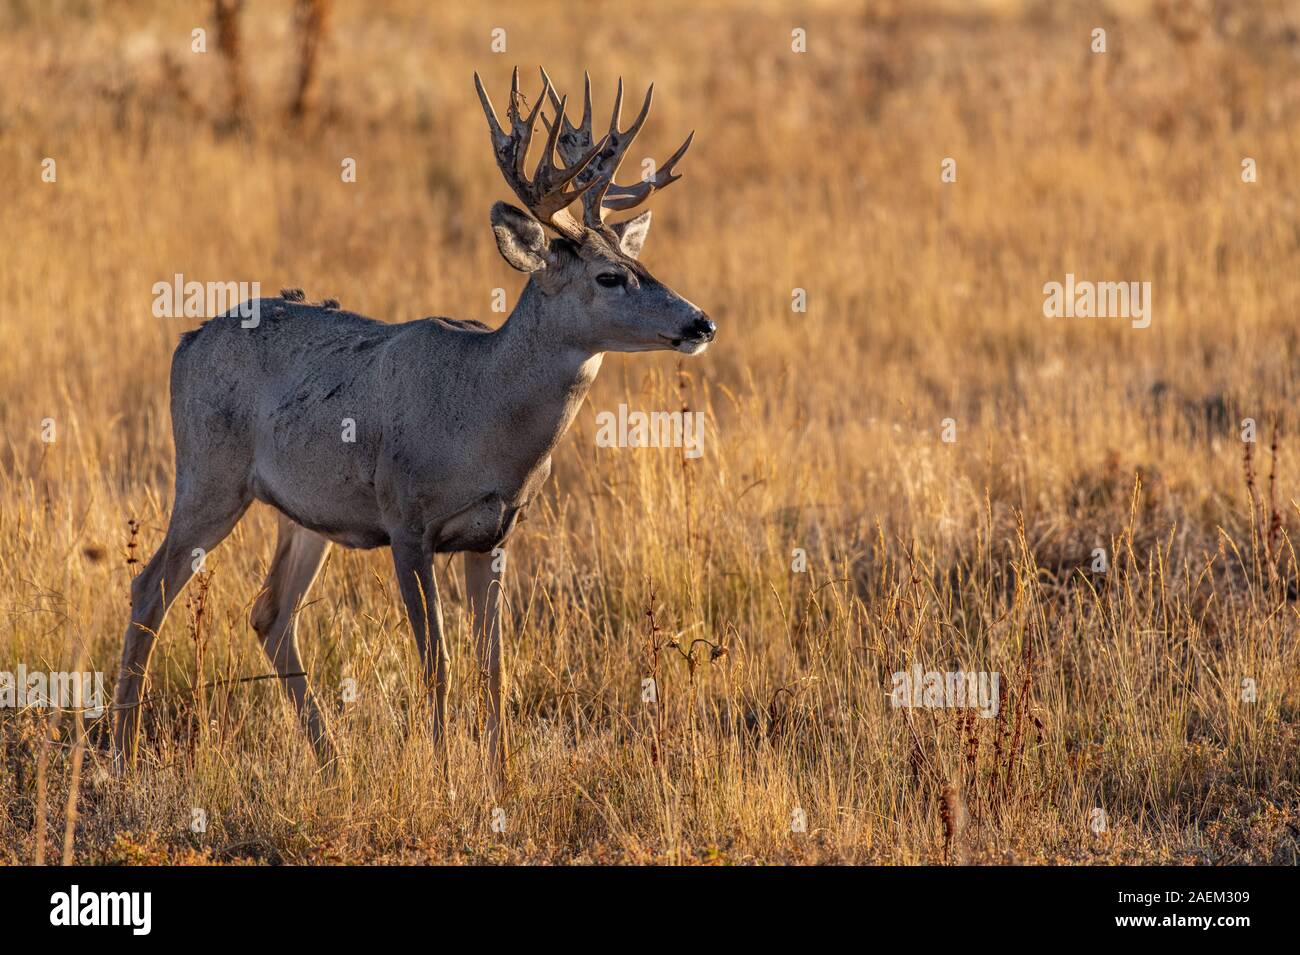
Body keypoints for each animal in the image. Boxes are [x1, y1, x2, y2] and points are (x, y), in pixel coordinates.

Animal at [112, 68, 714, 782]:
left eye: (645, 263)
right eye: (610, 276)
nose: (700, 322)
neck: (483, 414)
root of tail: (186, 341)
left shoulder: (496, 536)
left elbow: (494, 668)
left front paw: (502, 776)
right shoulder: (407, 521)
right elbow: (439, 665)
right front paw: (447, 773)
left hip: (302, 512)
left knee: (270, 612)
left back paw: (332, 761)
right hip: (209, 476)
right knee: (150, 587)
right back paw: (119, 755)